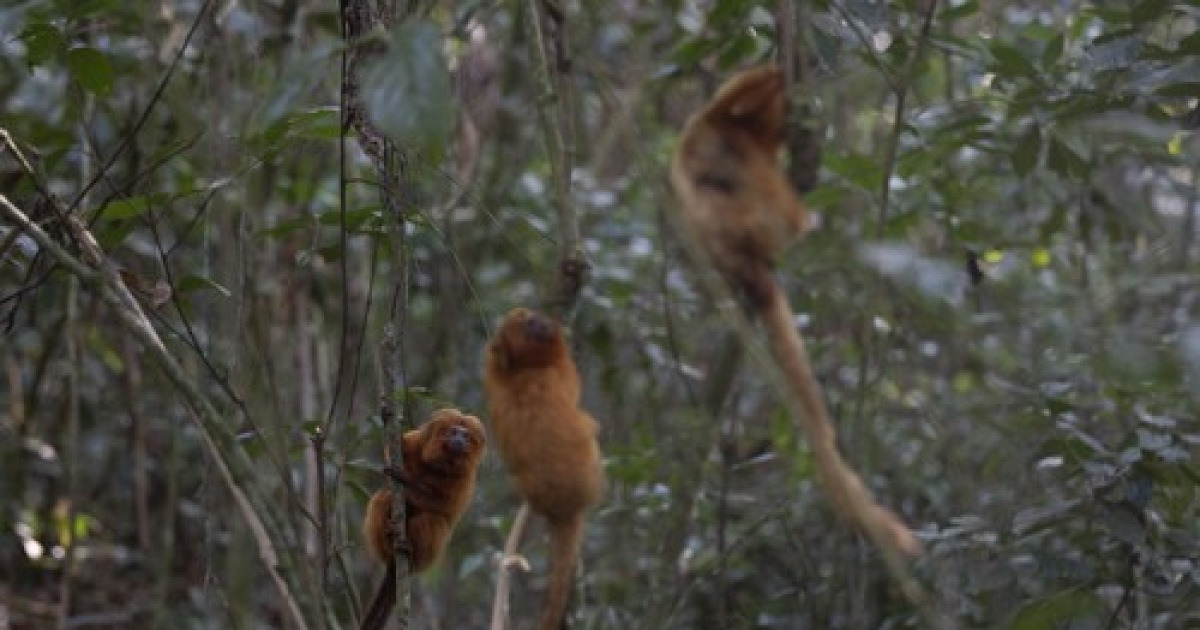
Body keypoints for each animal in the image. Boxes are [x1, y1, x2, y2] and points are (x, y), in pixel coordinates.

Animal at [360, 408, 487, 630]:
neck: (439, 465)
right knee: (383, 497)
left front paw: (407, 481)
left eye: (466, 435)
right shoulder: (417, 442)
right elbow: (395, 449)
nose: (460, 440)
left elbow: (442, 505)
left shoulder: (466, 479)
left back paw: (410, 551)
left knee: (432, 519)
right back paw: (389, 534)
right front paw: (386, 417)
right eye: (454, 431)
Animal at [483, 307, 604, 630]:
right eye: (528, 325)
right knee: (589, 427)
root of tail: (564, 506)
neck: (523, 369)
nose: (540, 322)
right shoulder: (563, 372)